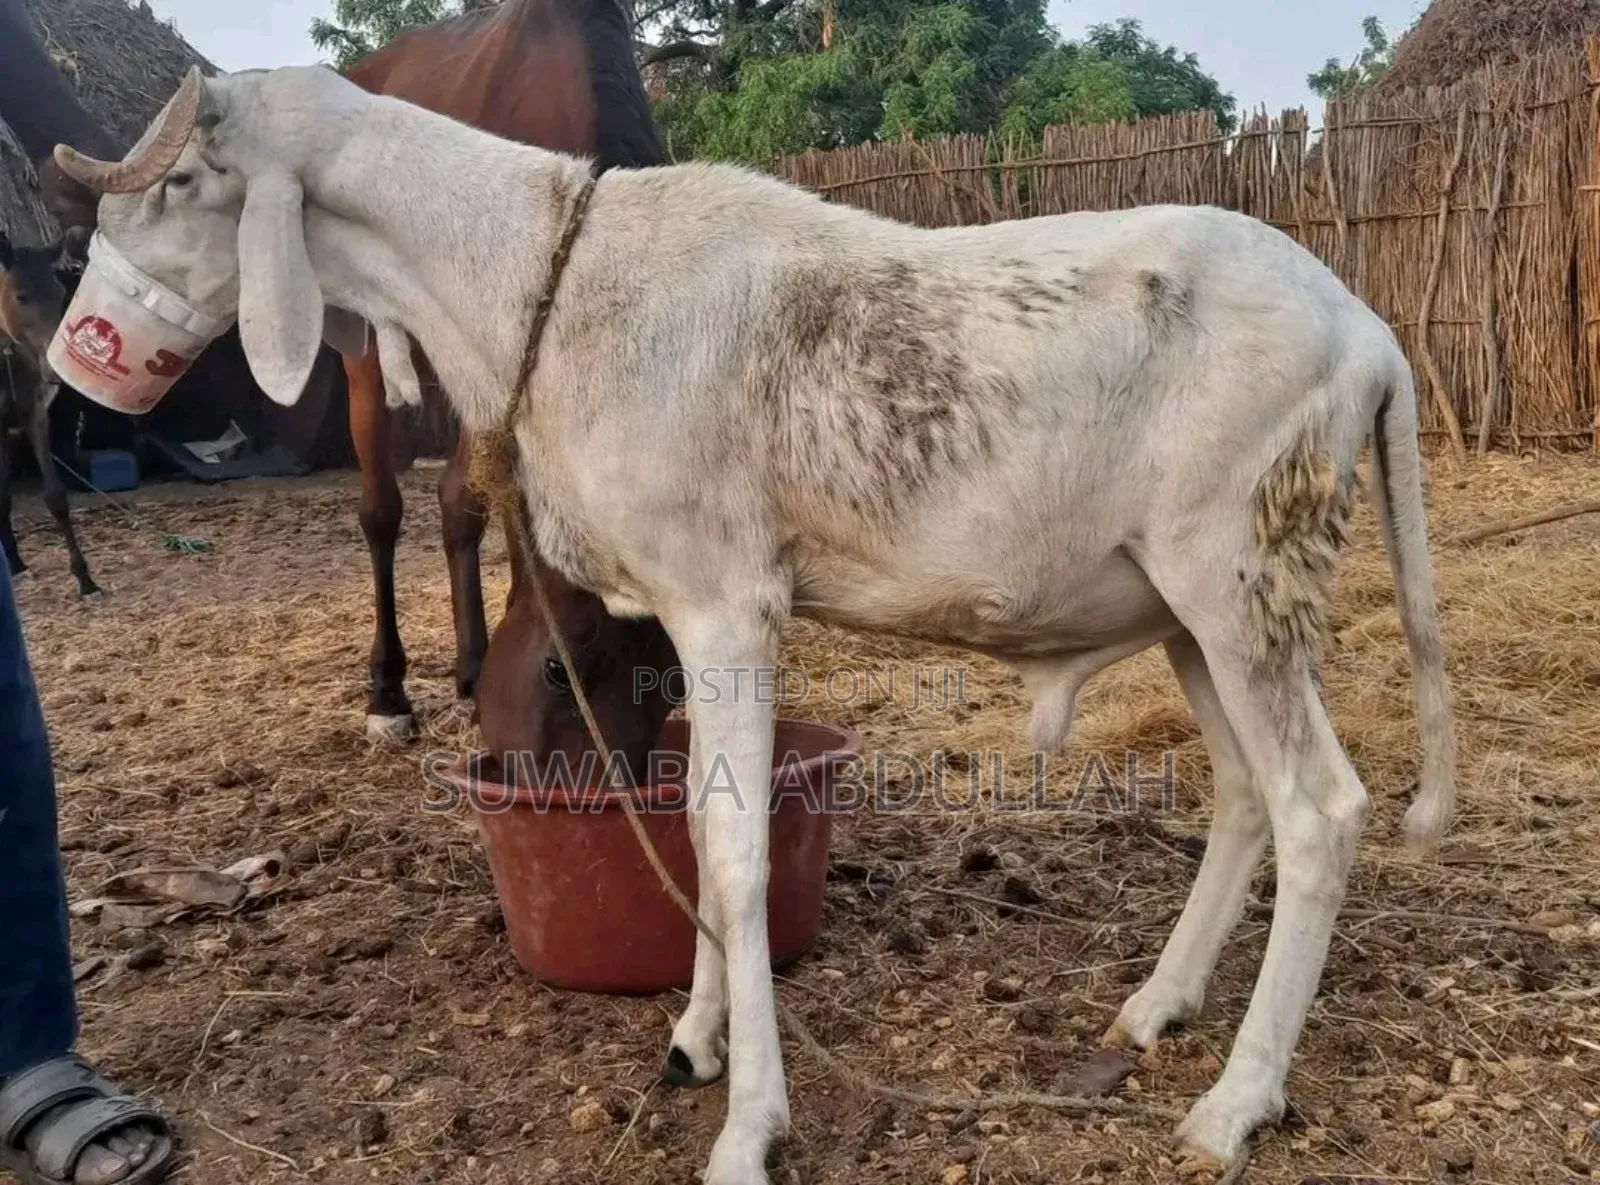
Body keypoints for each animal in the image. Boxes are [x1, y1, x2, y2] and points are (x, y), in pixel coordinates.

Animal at [54, 65, 1457, 1182]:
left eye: (180, 182)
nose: (82, 354)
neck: (545, 279)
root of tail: (1371, 334)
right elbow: (689, 825)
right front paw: (693, 1039)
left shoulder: (725, 600)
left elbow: (730, 851)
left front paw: (748, 1127)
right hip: (1187, 609)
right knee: (1243, 798)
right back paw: (1156, 1009)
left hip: (1241, 574)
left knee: (1321, 811)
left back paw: (1234, 1102)